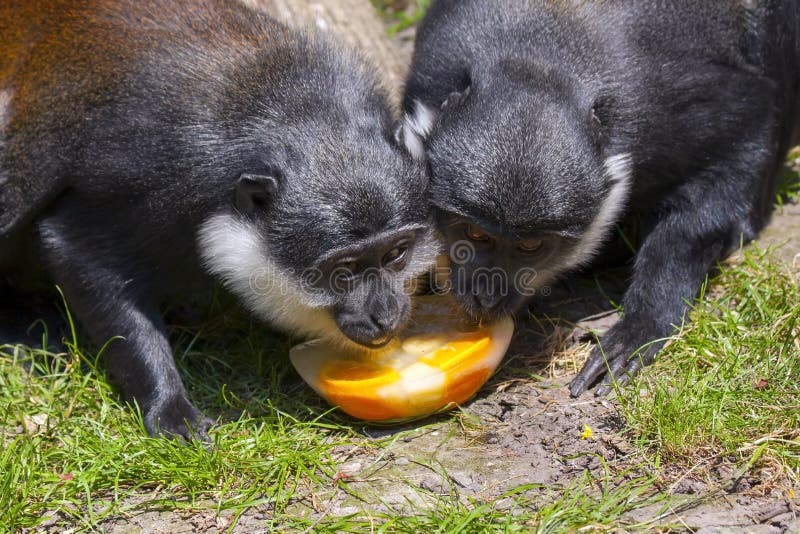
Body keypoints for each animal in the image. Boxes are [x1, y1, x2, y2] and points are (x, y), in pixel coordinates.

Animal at [0, 0, 441, 440]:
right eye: (344, 269)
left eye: (396, 254)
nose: (384, 314)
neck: (295, 118)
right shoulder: (151, 182)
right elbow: (79, 249)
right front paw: (168, 406)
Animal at [398, 0, 800, 396]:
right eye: (475, 234)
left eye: (530, 247)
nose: (487, 295)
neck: (542, 62)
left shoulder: (676, 104)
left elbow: (746, 131)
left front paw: (640, 325)